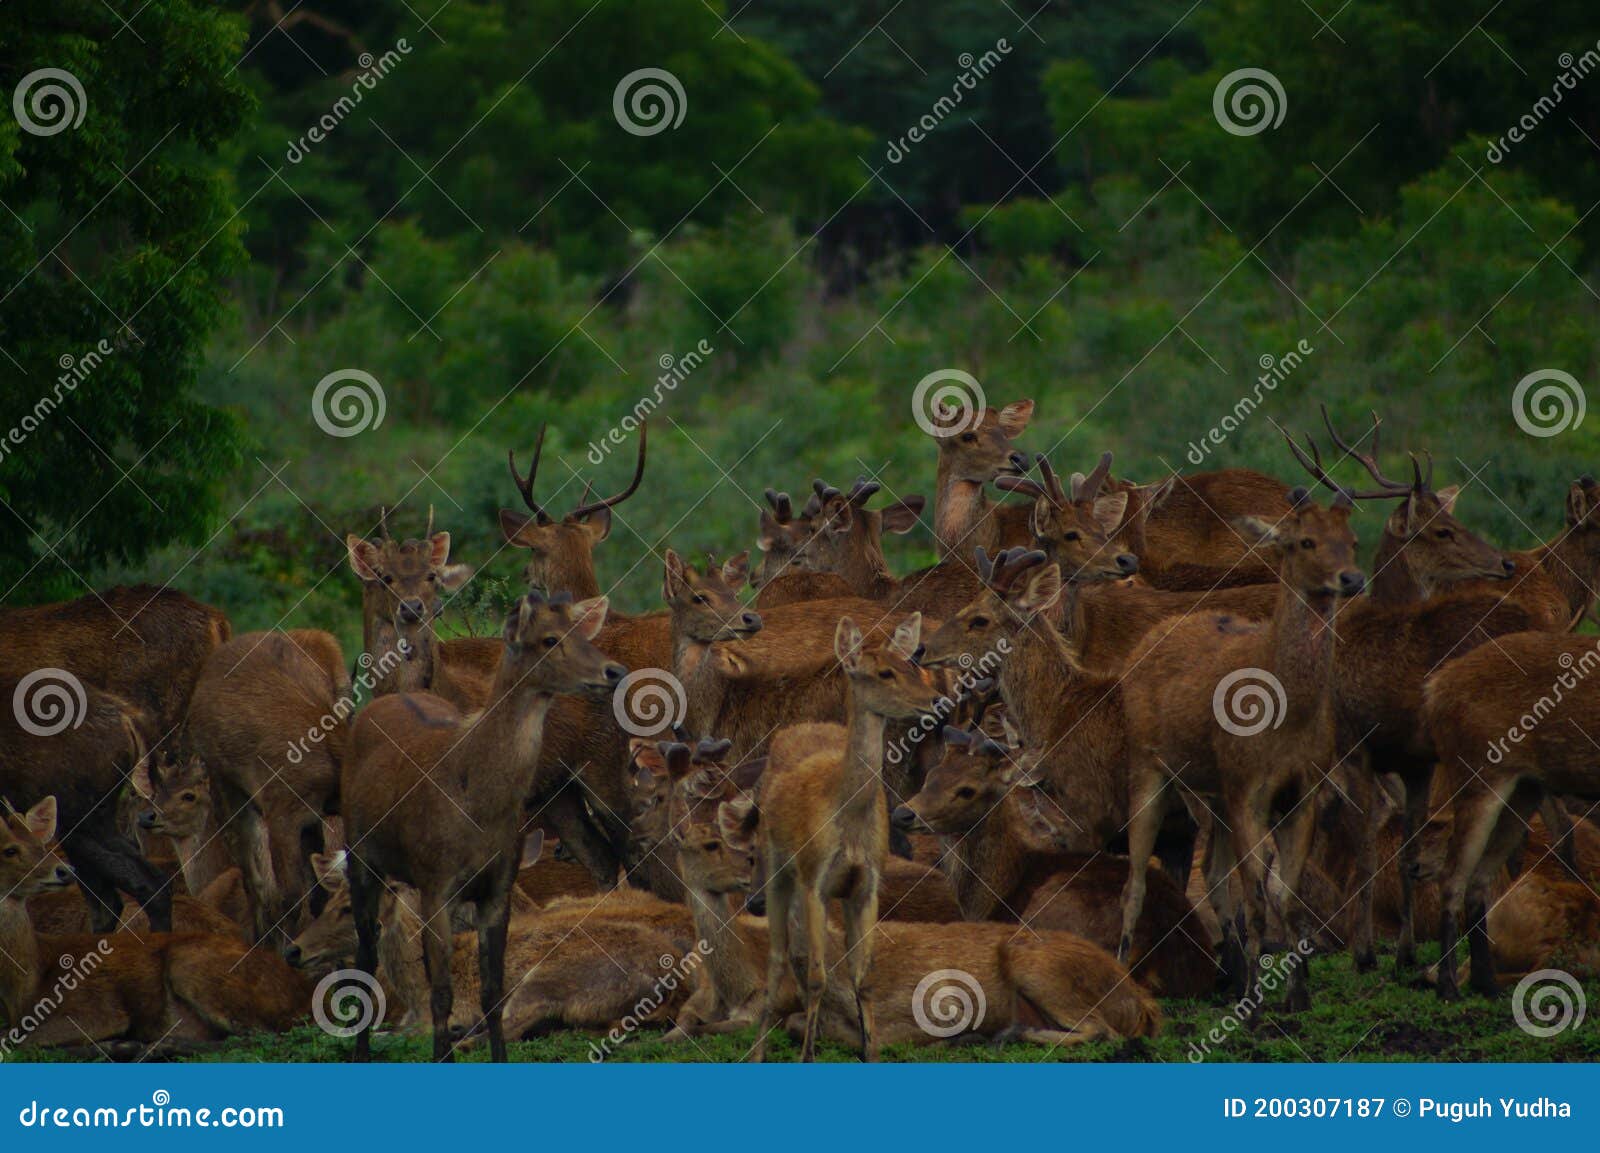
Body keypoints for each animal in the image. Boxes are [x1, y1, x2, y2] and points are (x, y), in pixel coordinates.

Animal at [0, 797, 308, 1054]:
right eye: (9, 849)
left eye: (39, 846)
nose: (64, 871)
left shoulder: (97, 1009)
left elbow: (18, 1042)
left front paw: (118, 1045)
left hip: (188, 964)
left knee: (261, 1037)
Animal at [342, 590, 626, 1061]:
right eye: (549, 639)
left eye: (582, 632)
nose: (615, 671)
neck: (478, 804)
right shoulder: (436, 884)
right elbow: (441, 994)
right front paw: (441, 1054)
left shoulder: (497, 887)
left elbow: (494, 992)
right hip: (359, 856)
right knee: (364, 957)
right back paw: (360, 1054)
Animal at [753, 613, 947, 1062]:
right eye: (884, 672)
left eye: (914, 665)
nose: (935, 701)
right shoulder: (814, 880)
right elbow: (818, 977)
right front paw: (807, 1055)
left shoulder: (868, 884)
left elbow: (864, 978)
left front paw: (869, 1051)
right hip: (776, 866)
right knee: (778, 957)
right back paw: (757, 1051)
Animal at [1116, 461, 1367, 1011]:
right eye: (1303, 541)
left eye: (1353, 540)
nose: (1353, 578)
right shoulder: (1246, 788)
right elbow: (1254, 895)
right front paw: (1253, 1003)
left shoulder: (1303, 790)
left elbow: (1284, 896)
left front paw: (1297, 995)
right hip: (1148, 767)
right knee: (1136, 880)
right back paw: (1124, 971)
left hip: (1209, 789)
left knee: (1211, 874)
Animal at [1422, 632, 1600, 998]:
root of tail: (1433, 688)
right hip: (1480, 777)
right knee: (1452, 877)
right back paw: (1448, 987)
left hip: (1523, 790)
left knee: (1479, 880)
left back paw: (1487, 983)